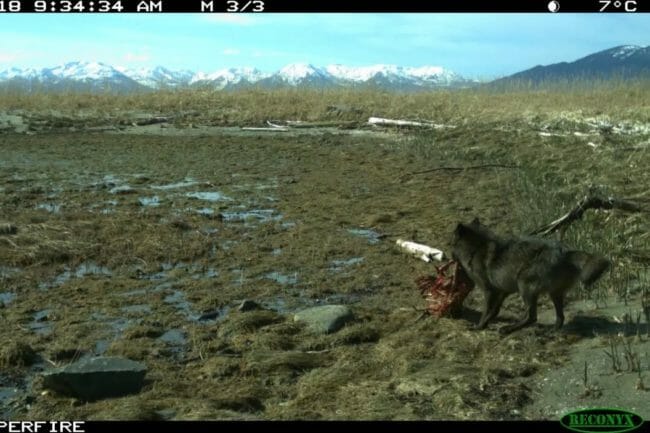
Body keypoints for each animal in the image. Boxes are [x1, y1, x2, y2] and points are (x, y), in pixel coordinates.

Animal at [451, 218, 610, 334]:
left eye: (450, 243)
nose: (449, 257)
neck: (476, 247)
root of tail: (565, 253)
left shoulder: (490, 291)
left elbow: (486, 311)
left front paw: (479, 326)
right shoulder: (503, 291)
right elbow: (494, 310)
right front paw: (486, 323)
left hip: (524, 286)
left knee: (532, 316)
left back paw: (508, 329)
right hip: (554, 294)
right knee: (560, 317)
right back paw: (551, 331)